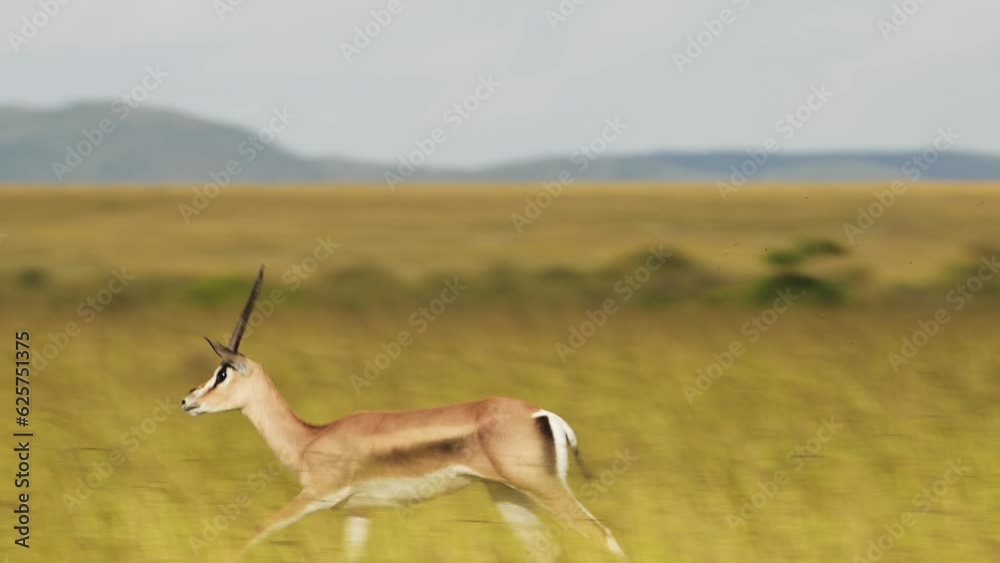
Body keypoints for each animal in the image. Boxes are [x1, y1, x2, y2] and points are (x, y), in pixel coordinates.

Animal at [181, 267, 628, 562]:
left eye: (221, 373)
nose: (188, 401)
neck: (309, 438)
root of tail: (543, 414)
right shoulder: (358, 511)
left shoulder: (317, 496)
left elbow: (256, 531)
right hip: (508, 495)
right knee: (546, 549)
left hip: (544, 488)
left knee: (603, 535)